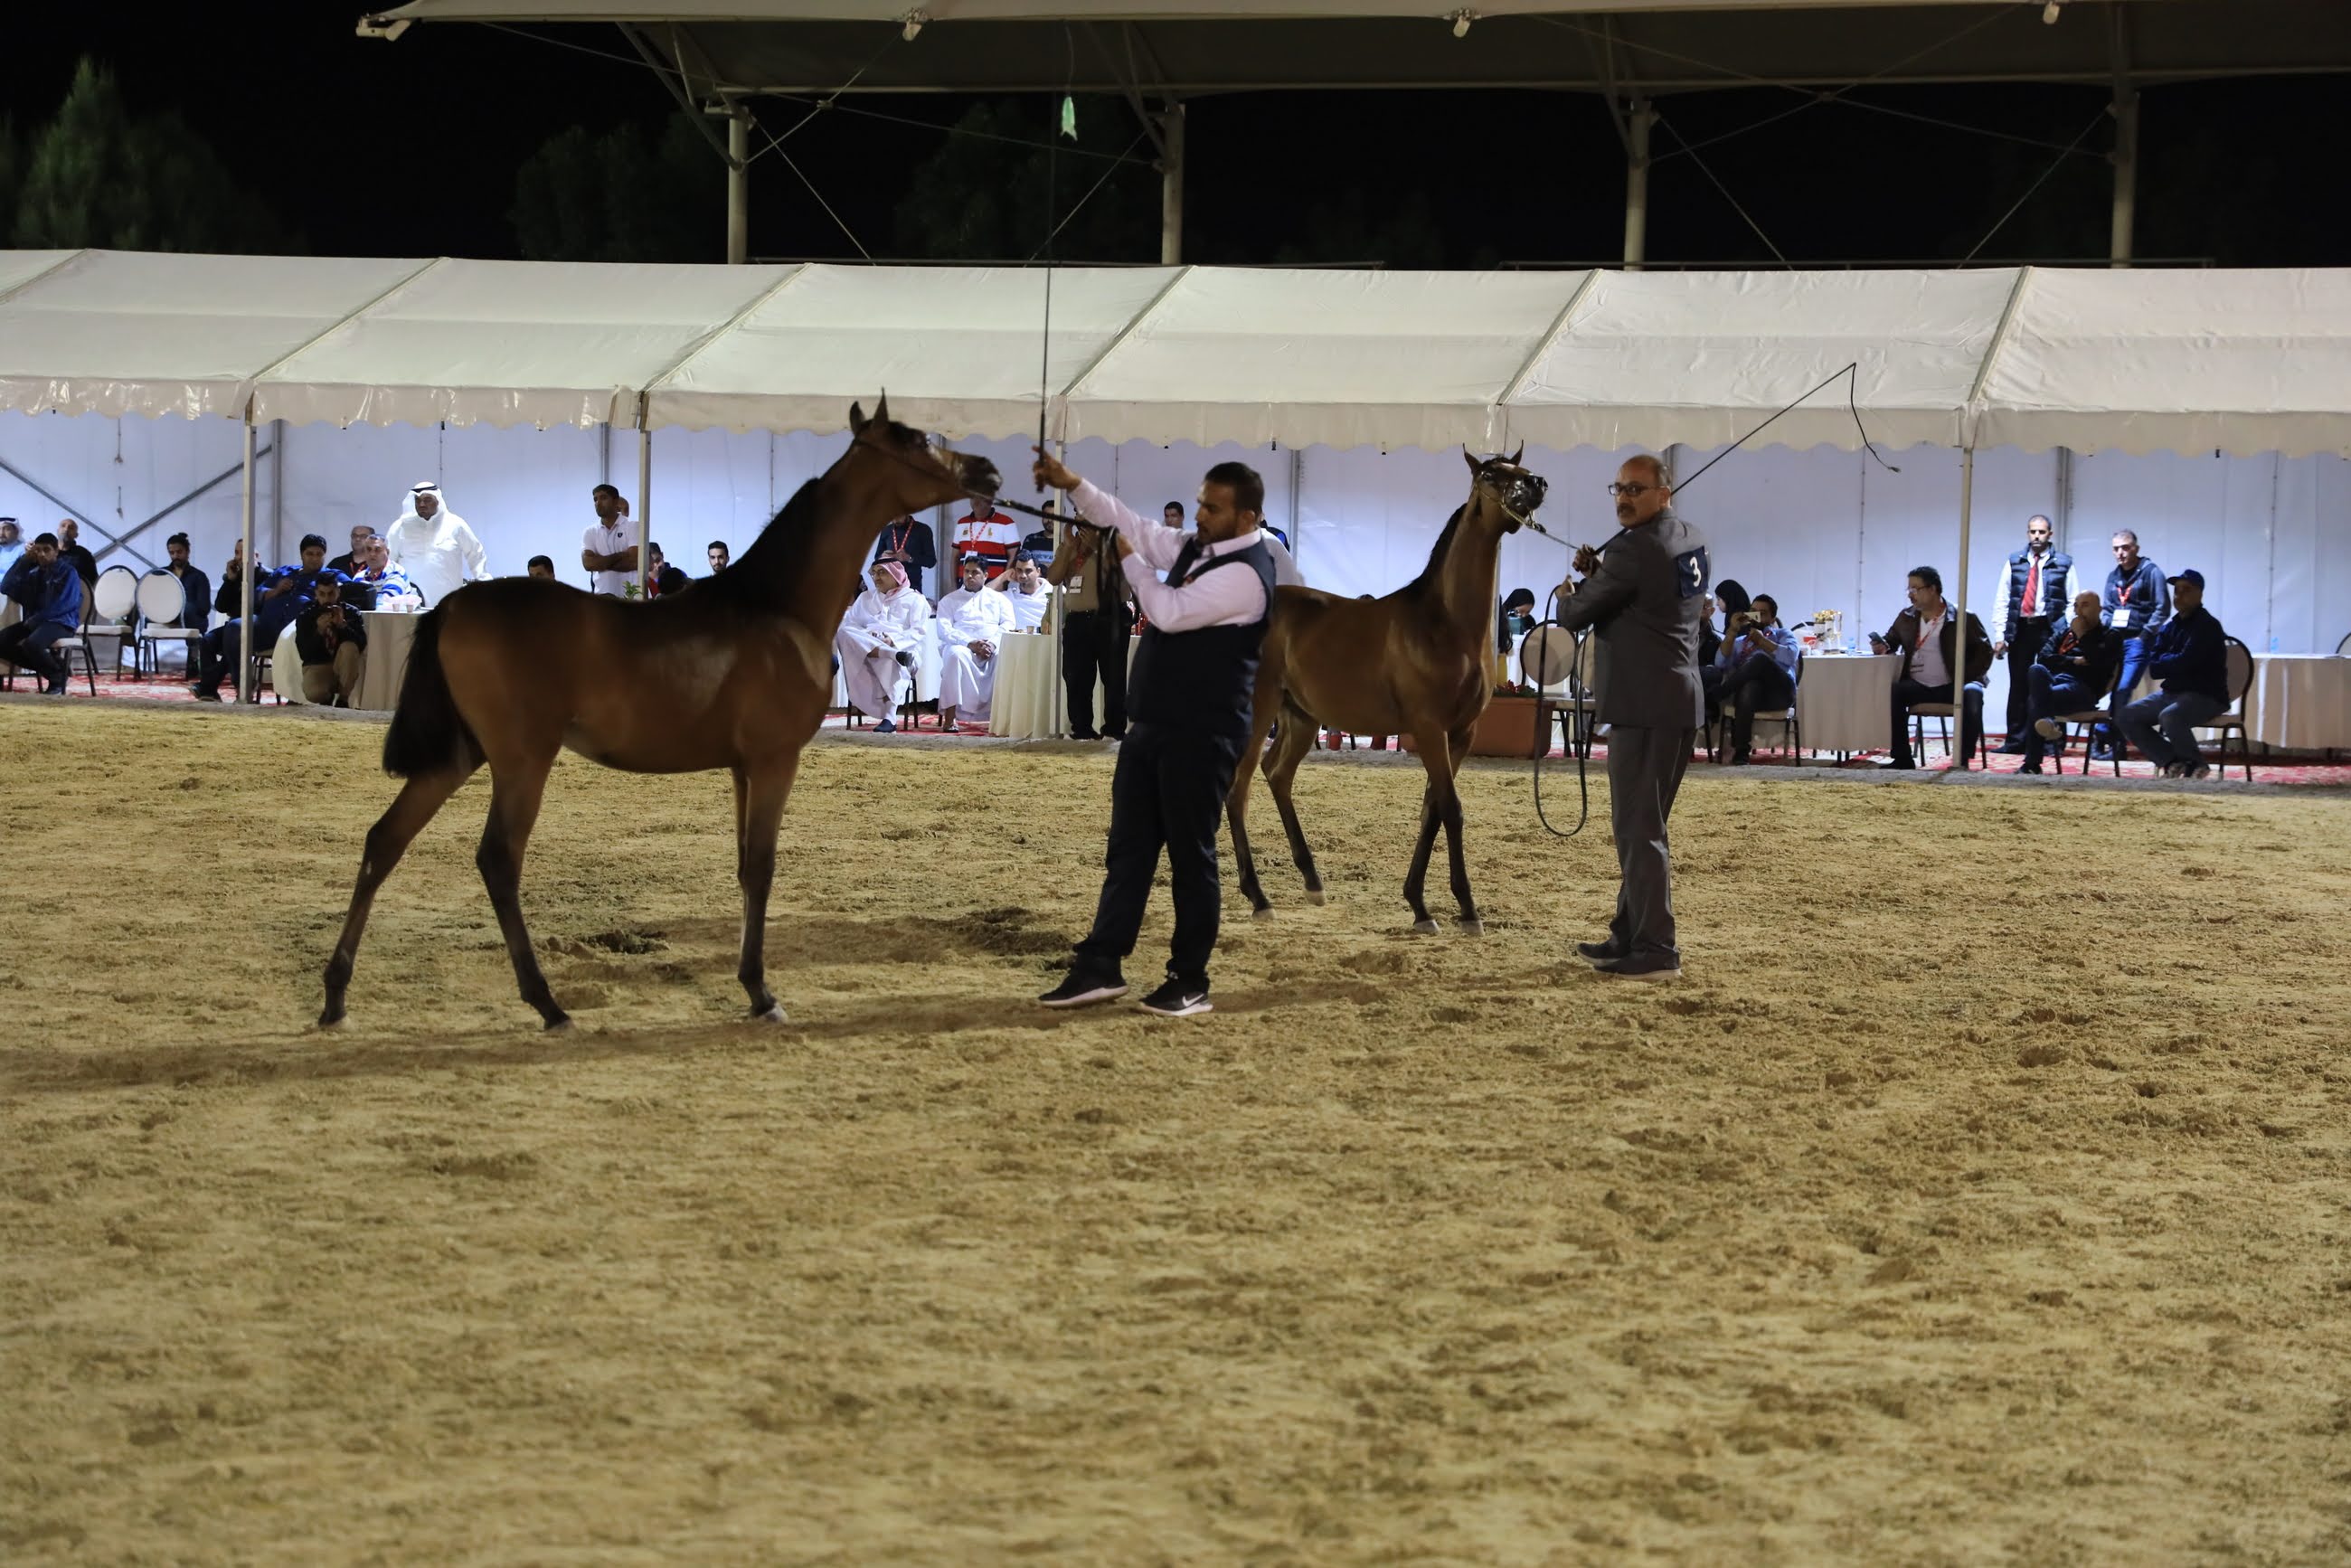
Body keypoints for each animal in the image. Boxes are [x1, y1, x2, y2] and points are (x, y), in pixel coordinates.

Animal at [320, 397, 998, 1031]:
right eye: (913, 439)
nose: (988, 472)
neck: (775, 605)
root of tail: (453, 606)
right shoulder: (774, 760)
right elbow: (762, 867)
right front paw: (762, 994)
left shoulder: (741, 767)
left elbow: (744, 869)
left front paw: (750, 986)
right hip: (521, 759)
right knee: (498, 859)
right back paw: (548, 1004)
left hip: (460, 755)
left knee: (386, 840)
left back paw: (335, 996)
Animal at [1225, 449, 1547, 935]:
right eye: (1491, 475)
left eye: (1521, 470)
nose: (1538, 484)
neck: (1445, 623)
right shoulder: (1429, 729)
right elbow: (1451, 808)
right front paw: (1466, 910)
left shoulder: (1461, 734)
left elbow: (1433, 808)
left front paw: (1419, 904)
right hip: (1259, 711)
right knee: (1237, 792)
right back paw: (1259, 898)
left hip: (1301, 716)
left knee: (1277, 775)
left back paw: (1313, 882)